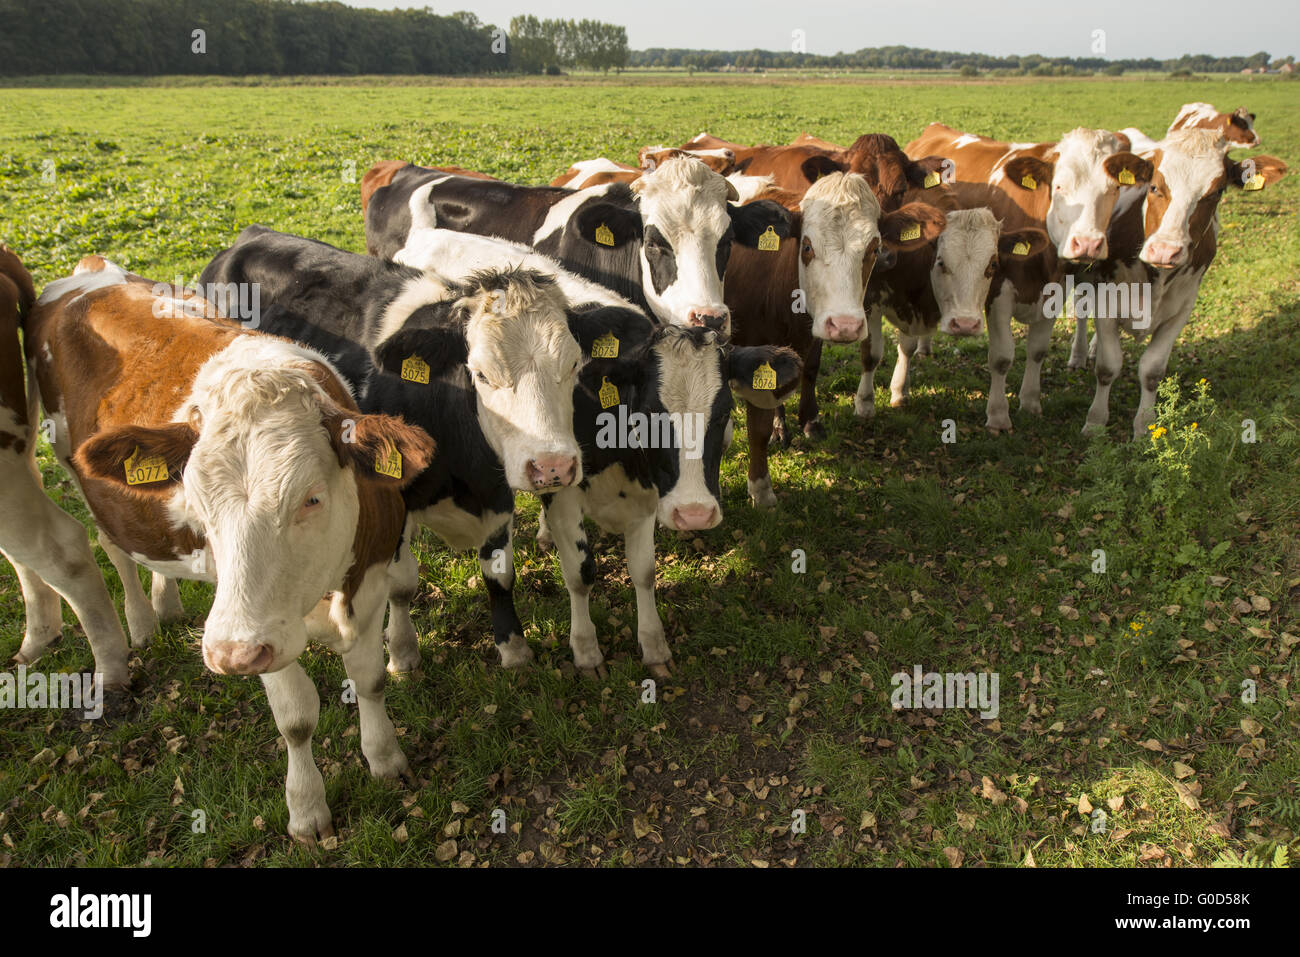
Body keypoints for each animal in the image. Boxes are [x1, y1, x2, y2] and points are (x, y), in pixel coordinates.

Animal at [26, 257, 436, 842]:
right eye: (197, 503)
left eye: (311, 497)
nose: (229, 656)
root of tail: (91, 268)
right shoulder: (253, 627)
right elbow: (296, 717)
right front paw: (306, 809)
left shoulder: (373, 576)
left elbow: (371, 679)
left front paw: (384, 759)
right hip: (72, 466)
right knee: (113, 546)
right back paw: (140, 621)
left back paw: (166, 603)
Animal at [199, 225, 612, 672]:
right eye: (481, 374)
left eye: (573, 365)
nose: (552, 466)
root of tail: (250, 235)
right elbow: (400, 583)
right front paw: (401, 651)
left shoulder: (505, 496)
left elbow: (507, 574)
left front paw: (521, 647)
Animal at [722, 171, 945, 505]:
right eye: (807, 247)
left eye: (874, 249)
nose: (845, 325)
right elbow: (756, 427)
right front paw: (761, 490)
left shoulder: (809, 336)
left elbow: (810, 371)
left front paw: (809, 421)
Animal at [1081, 130, 1286, 437]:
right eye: (1154, 186)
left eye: (1217, 192)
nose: (1166, 251)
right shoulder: (1105, 296)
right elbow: (1108, 366)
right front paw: (1095, 422)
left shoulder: (1182, 308)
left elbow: (1152, 371)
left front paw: (1144, 426)